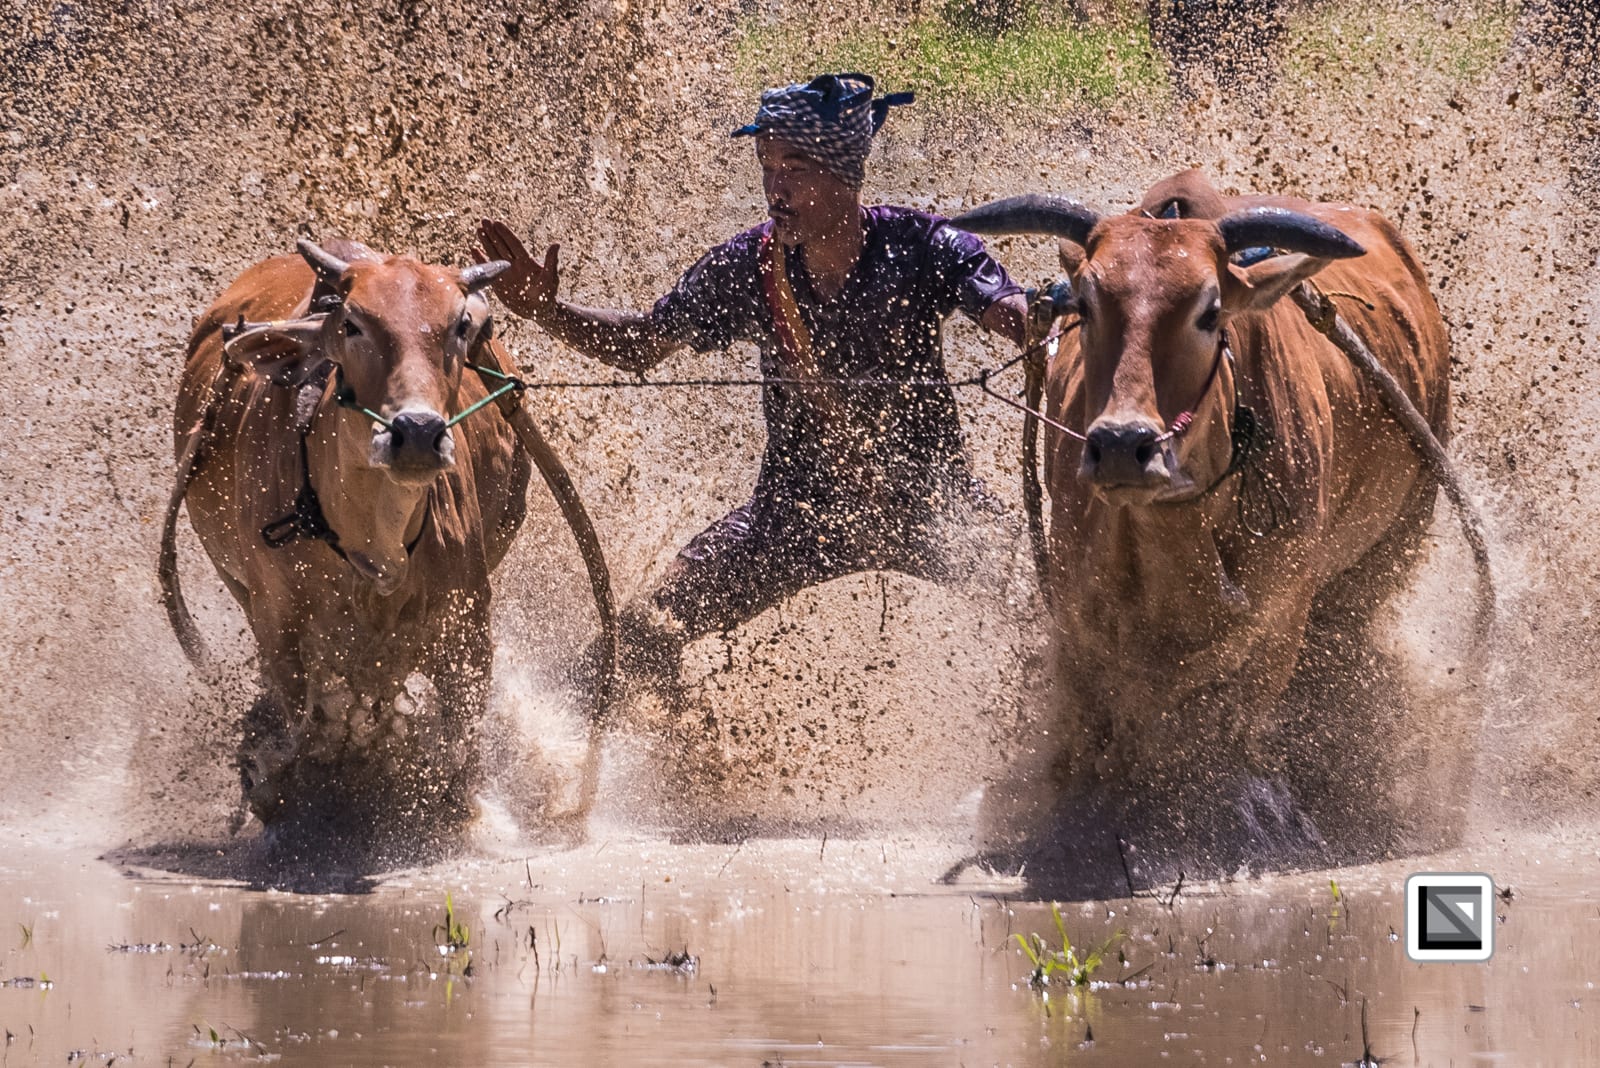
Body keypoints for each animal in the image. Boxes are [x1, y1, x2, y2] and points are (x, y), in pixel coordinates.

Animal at [161, 239, 541, 858]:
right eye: (354, 323)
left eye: (460, 325)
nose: (417, 433)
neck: (376, 543)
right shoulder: (276, 625)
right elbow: (299, 730)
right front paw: (275, 787)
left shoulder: (468, 623)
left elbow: (461, 743)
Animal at [955, 170, 1458, 892]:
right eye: (1088, 302)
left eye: (1210, 310)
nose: (1122, 445)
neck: (1173, 533)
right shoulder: (1078, 611)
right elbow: (1093, 725)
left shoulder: (1279, 615)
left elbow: (1226, 727)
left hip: (1389, 553)